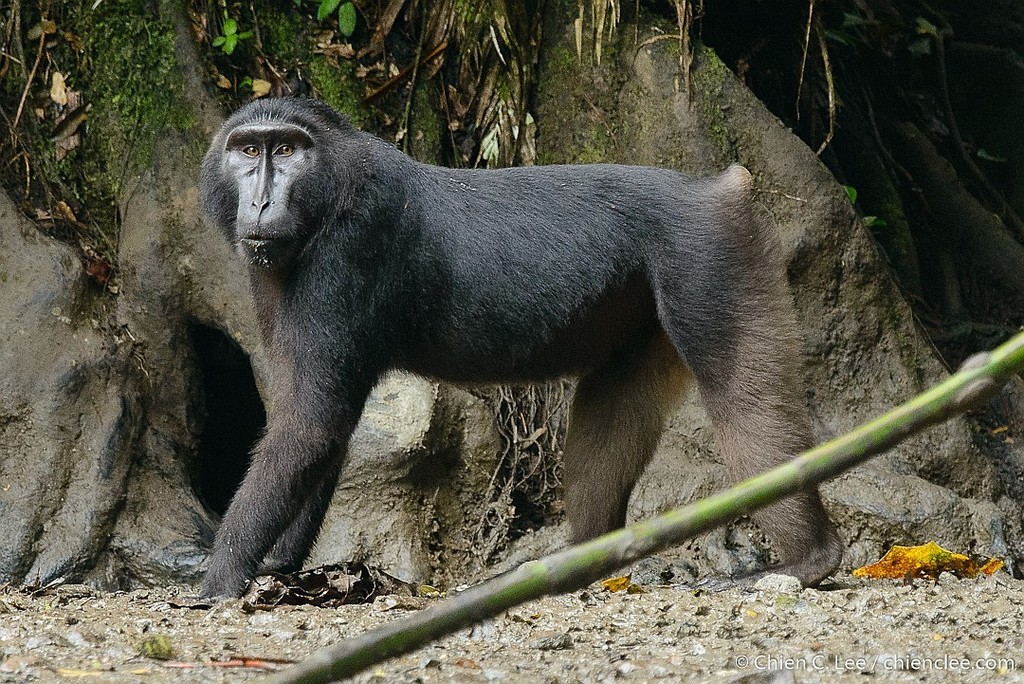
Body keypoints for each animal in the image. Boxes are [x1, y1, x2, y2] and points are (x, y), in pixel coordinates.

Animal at [197, 96, 843, 598]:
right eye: (247, 152)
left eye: (285, 151)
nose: (260, 202)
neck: (331, 182)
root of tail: (715, 188)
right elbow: (320, 430)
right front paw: (277, 563)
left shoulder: (348, 244)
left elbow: (311, 424)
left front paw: (222, 577)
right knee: (615, 402)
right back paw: (584, 561)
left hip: (711, 249)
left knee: (743, 400)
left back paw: (812, 558)